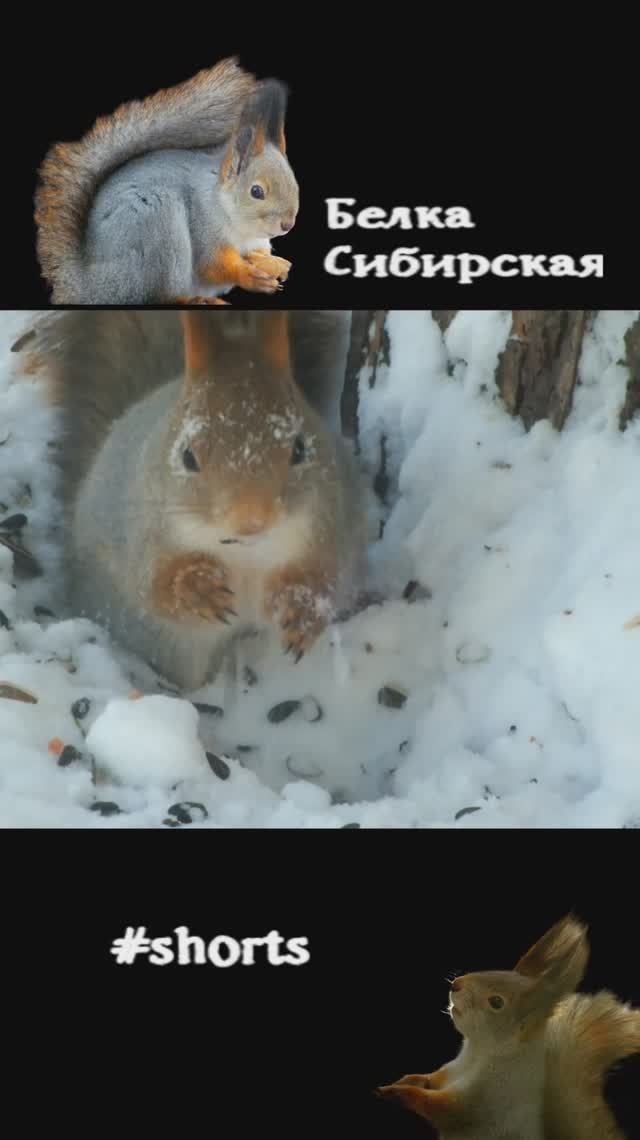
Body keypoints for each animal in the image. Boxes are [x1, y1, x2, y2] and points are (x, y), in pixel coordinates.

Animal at [21, 309, 364, 691]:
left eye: (300, 449)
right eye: (187, 456)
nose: (251, 520)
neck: (244, 554)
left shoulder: (331, 524)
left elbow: (326, 580)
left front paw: (301, 611)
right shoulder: (144, 533)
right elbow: (155, 586)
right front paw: (198, 590)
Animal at [34, 58, 299, 305]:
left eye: (295, 184)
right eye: (256, 191)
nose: (287, 225)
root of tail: (92, 286)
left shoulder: (255, 241)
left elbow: (256, 254)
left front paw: (272, 262)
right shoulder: (204, 226)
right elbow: (212, 265)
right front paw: (251, 277)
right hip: (158, 227)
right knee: (160, 296)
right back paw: (198, 300)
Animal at [377, 914, 640, 1140]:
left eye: (496, 1002)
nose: (455, 984)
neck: (478, 1052)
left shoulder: (485, 1099)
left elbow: (443, 1109)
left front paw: (396, 1093)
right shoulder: (451, 1071)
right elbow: (431, 1079)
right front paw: (406, 1079)